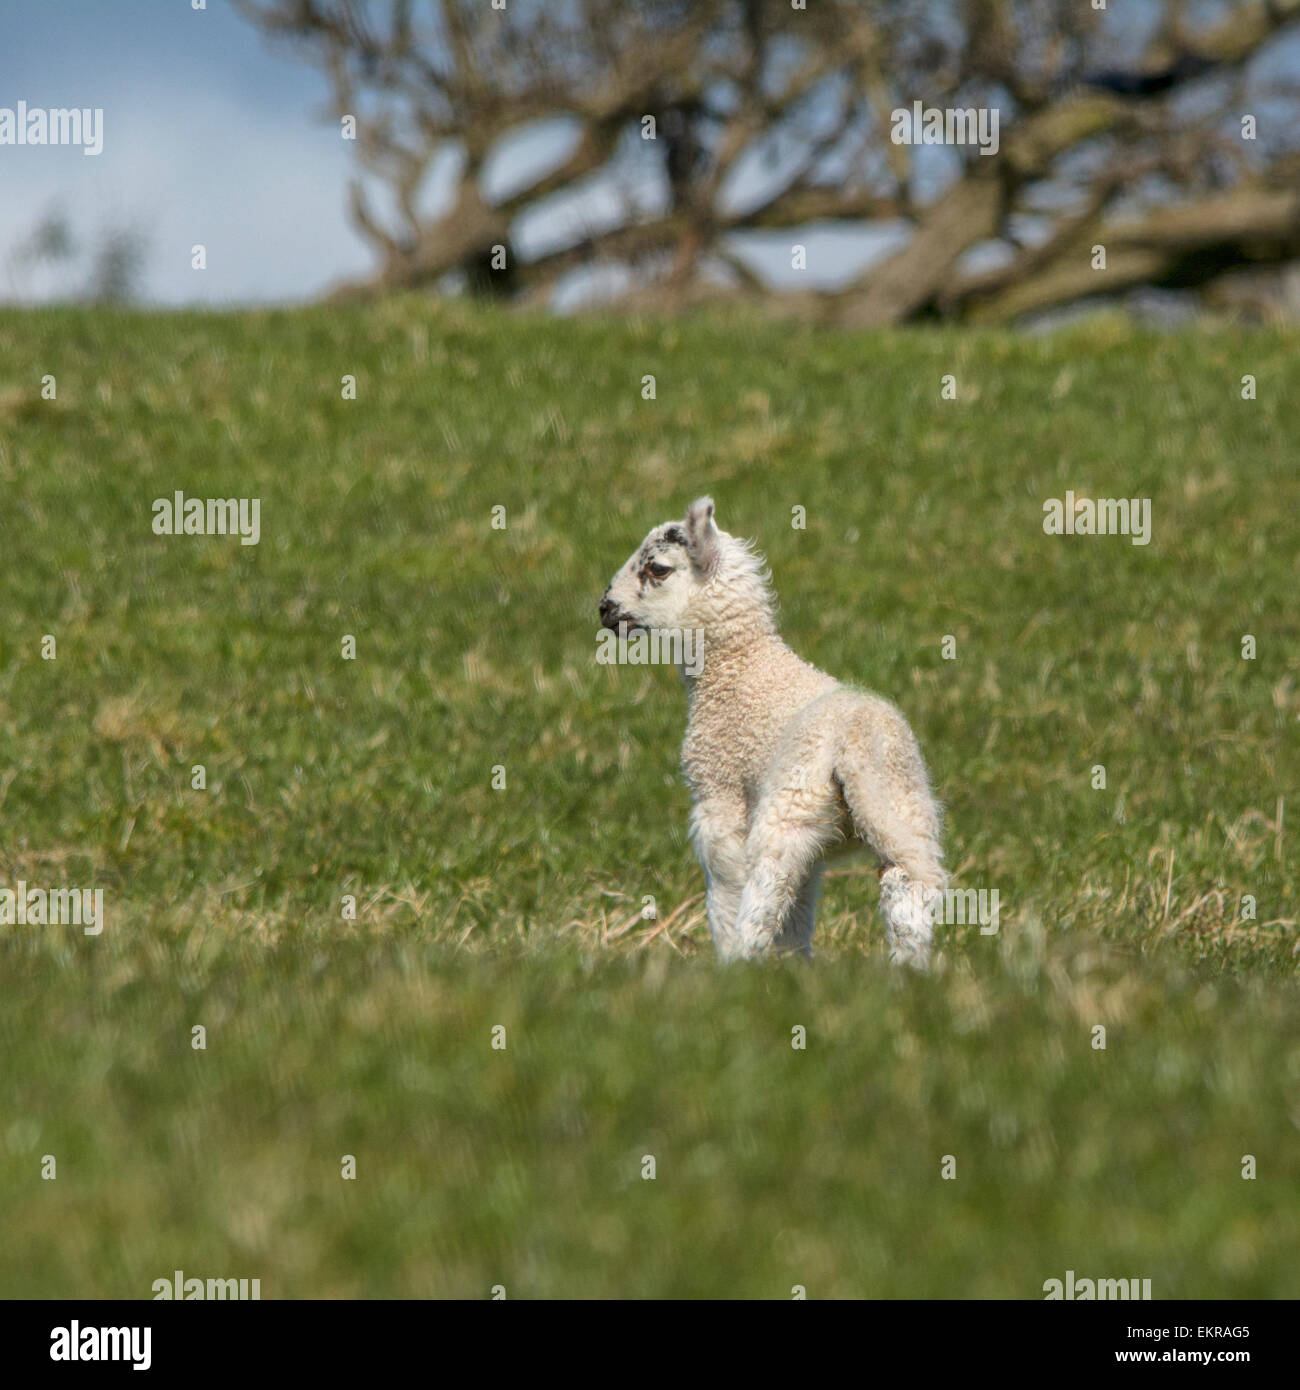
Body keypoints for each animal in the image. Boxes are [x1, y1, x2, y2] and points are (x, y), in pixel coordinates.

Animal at [599, 496, 946, 966]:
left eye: (657, 569)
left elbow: (728, 881)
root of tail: (856, 742)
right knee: (905, 890)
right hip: (904, 807)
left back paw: (743, 959)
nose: (604, 609)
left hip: (790, 802)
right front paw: (792, 966)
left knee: (767, 888)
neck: (740, 666)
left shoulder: (720, 794)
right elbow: (799, 910)